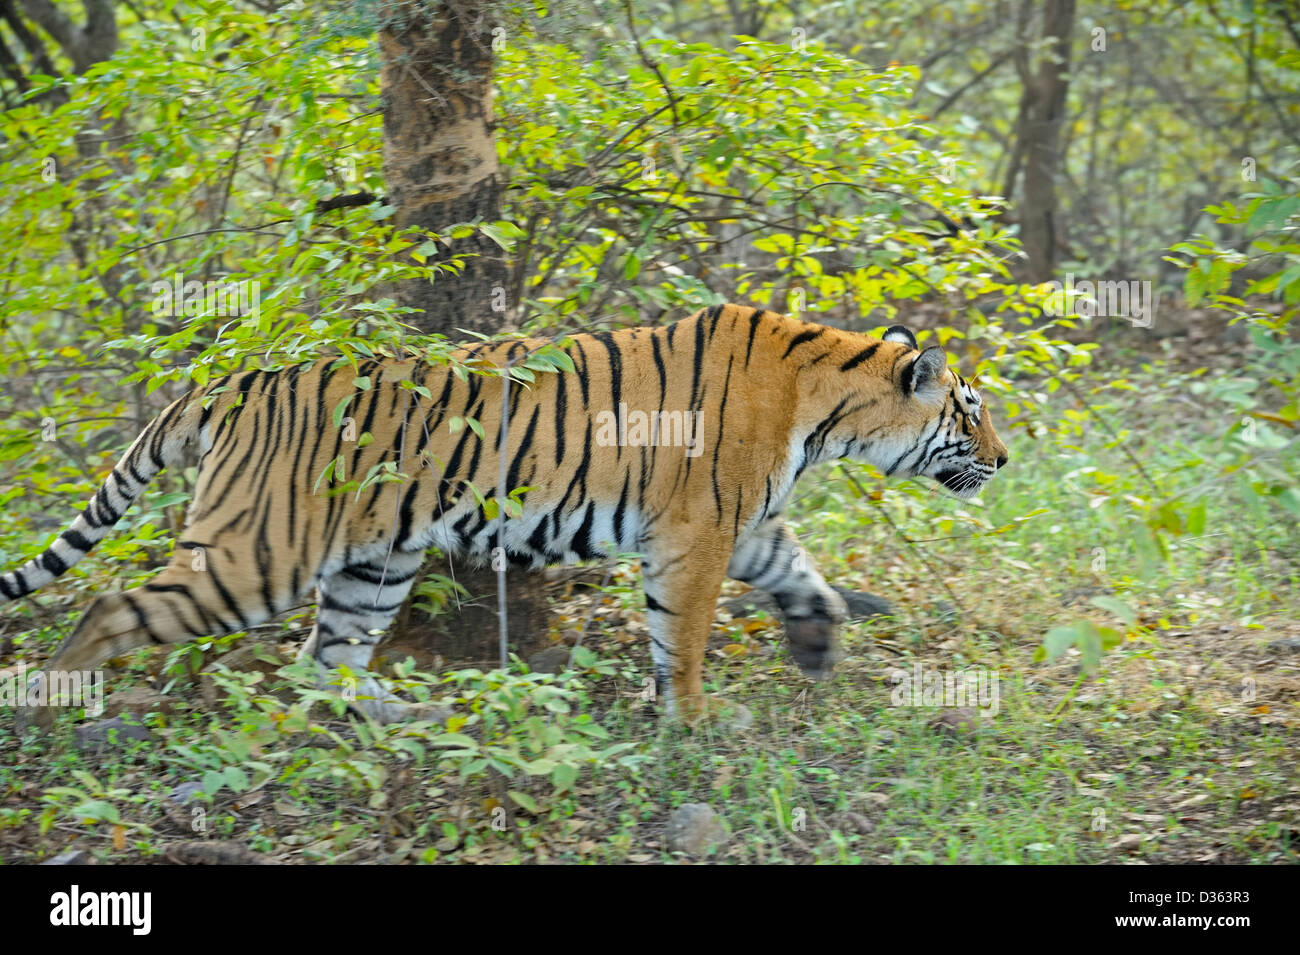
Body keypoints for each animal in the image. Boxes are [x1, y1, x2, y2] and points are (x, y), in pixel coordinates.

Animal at [2, 303, 1007, 726]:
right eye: (971, 411)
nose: (1004, 460)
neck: (829, 408)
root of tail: (237, 379)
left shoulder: (744, 521)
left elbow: (802, 571)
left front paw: (819, 638)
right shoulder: (698, 531)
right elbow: (681, 636)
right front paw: (691, 720)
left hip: (374, 565)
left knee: (324, 660)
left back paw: (396, 713)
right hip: (258, 552)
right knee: (110, 609)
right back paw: (55, 703)